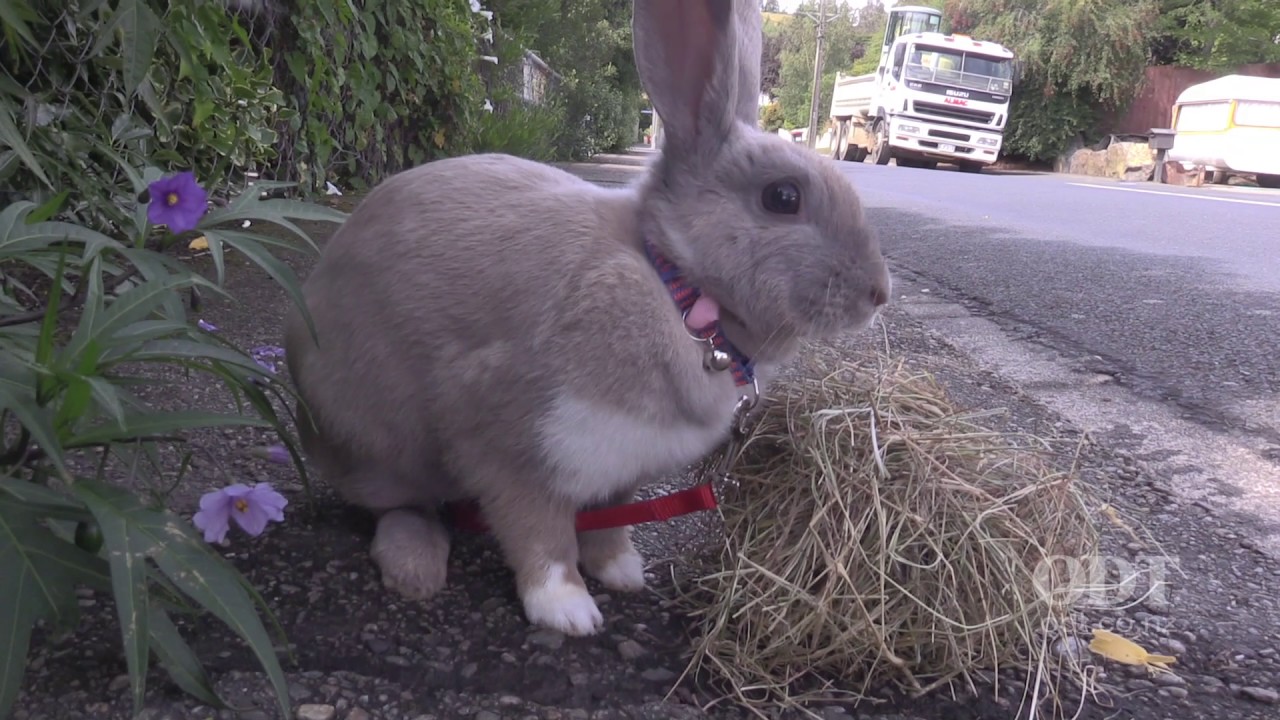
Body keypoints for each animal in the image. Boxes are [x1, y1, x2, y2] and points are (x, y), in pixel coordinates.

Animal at [283, 0, 891, 637]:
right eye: (782, 198)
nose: (879, 292)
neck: (679, 292)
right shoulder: (513, 445)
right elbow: (539, 535)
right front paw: (568, 611)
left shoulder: (622, 475)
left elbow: (608, 524)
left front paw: (624, 573)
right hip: (377, 447)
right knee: (400, 504)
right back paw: (415, 567)